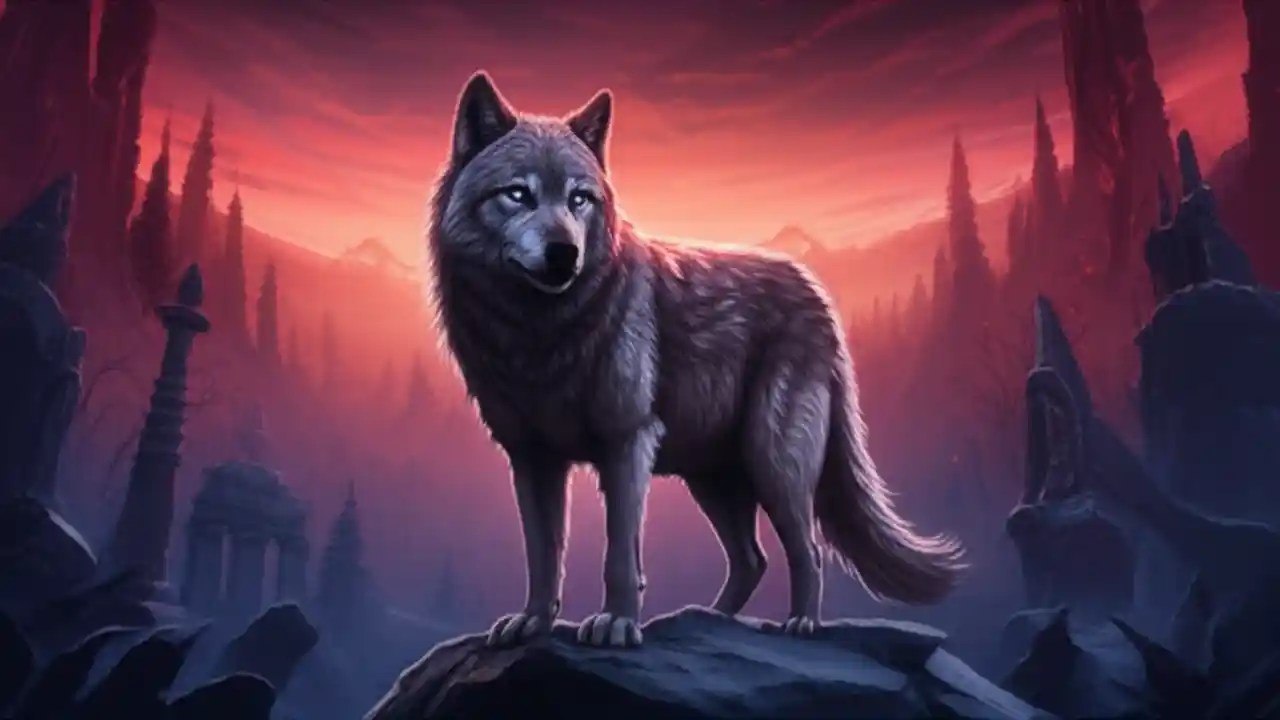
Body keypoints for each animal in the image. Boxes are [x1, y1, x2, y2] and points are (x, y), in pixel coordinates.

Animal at [427, 71, 964, 648]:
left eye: (579, 200)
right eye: (518, 195)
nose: (564, 253)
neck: (538, 333)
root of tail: (815, 290)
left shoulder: (627, 442)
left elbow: (620, 557)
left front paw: (618, 624)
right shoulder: (531, 457)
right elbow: (542, 555)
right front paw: (533, 621)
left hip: (774, 461)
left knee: (808, 550)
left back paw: (799, 623)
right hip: (712, 478)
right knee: (751, 560)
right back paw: (703, 618)